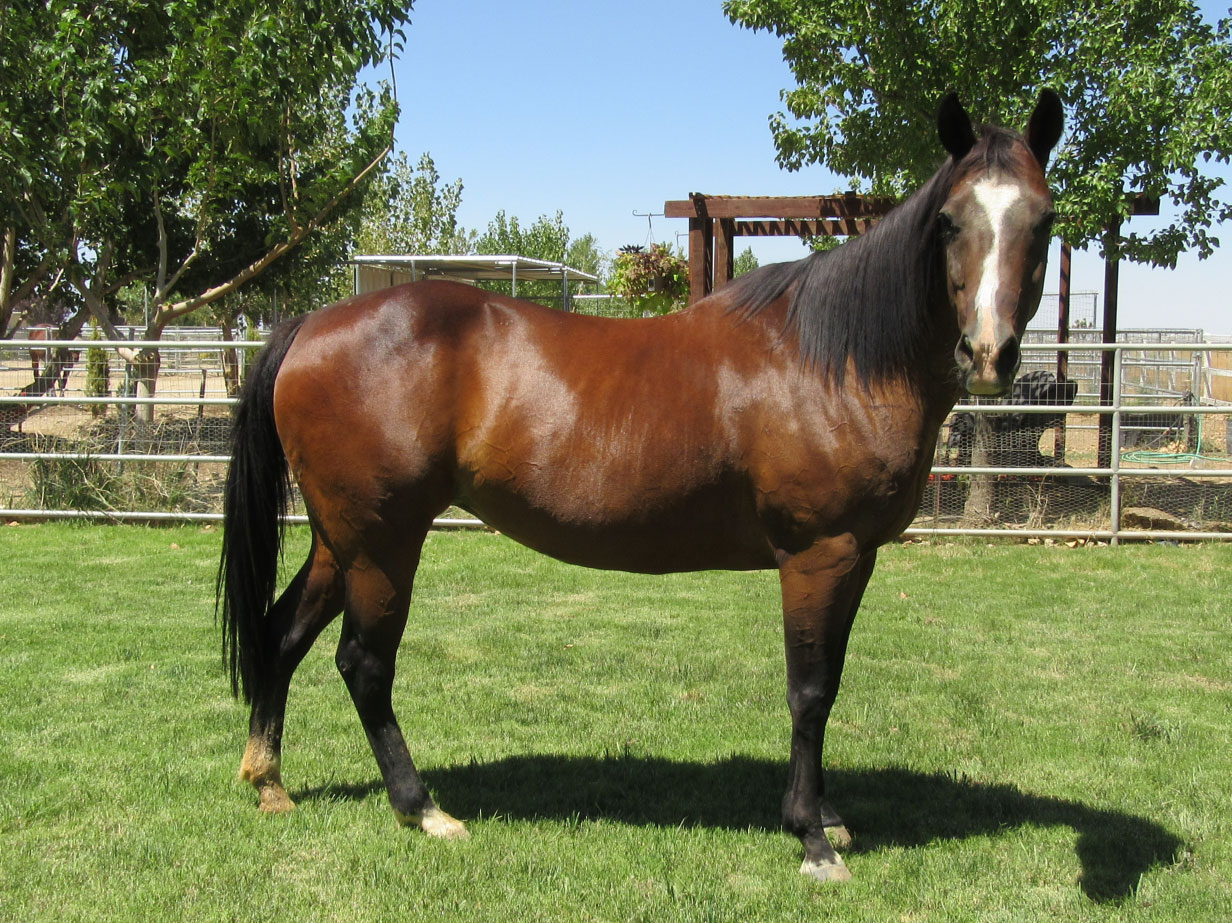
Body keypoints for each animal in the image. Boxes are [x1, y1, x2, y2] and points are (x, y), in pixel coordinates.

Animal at [218, 91, 1062, 883]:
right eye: (950, 221)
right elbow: (810, 688)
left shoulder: (857, 557)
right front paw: (811, 837)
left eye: (1044, 219)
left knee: (282, 633)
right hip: (382, 544)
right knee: (364, 664)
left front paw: (827, 814)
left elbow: (829, 680)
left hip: (342, 540)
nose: (989, 353)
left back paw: (269, 780)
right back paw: (421, 808)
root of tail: (310, 324)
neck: (834, 359)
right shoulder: (817, 555)